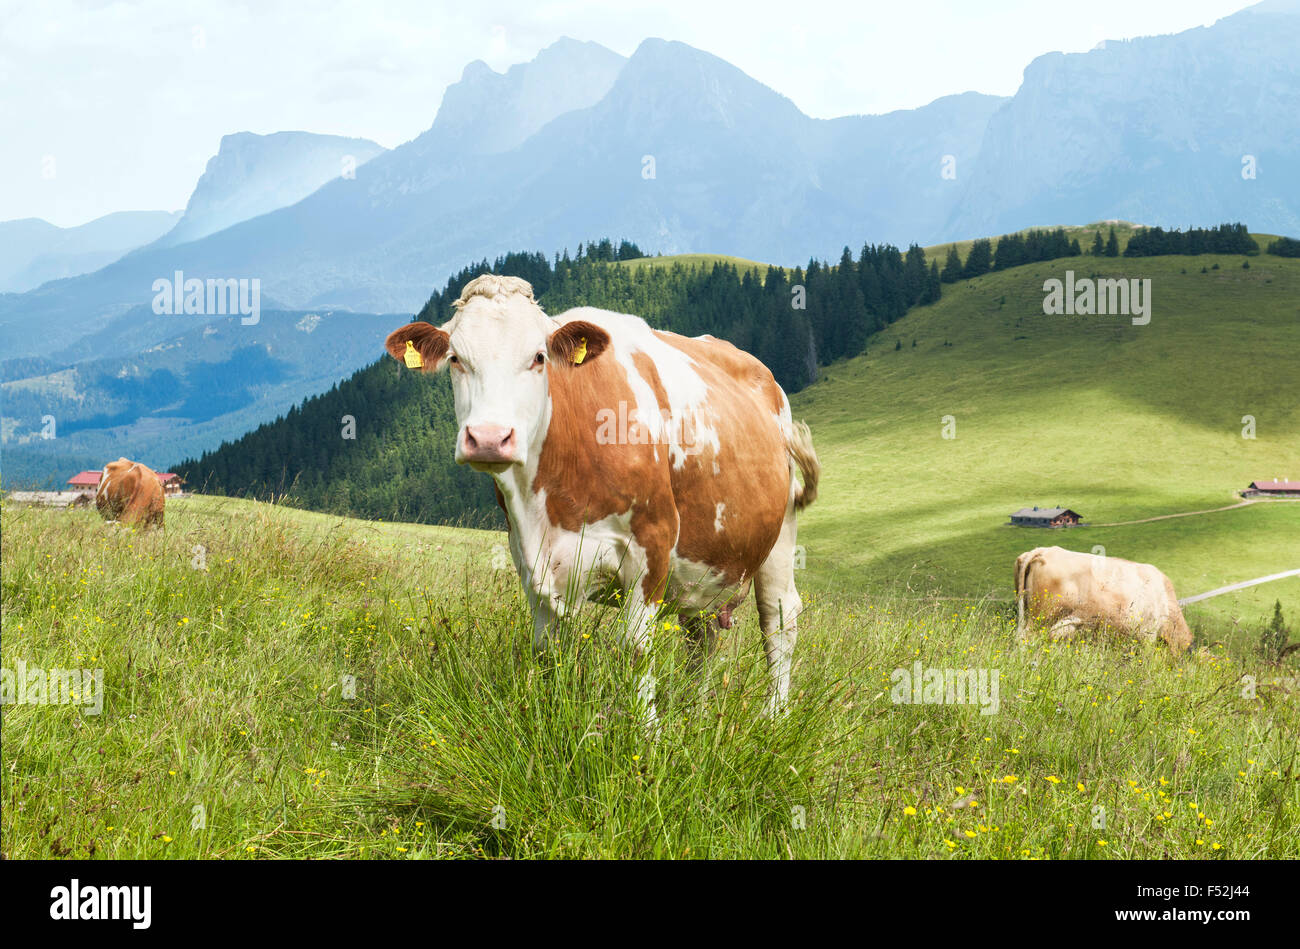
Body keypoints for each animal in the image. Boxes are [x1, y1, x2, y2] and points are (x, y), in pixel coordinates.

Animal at [385, 274, 820, 721]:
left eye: (539, 357)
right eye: (456, 358)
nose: (489, 437)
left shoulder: (653, 544)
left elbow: (636, 650)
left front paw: (646, 731)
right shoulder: (528, 557)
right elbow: (547, 651)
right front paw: (550, 716)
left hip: (780, 534)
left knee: (779, 619)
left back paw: (773, 715)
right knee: (700, 635)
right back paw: (693, 712)